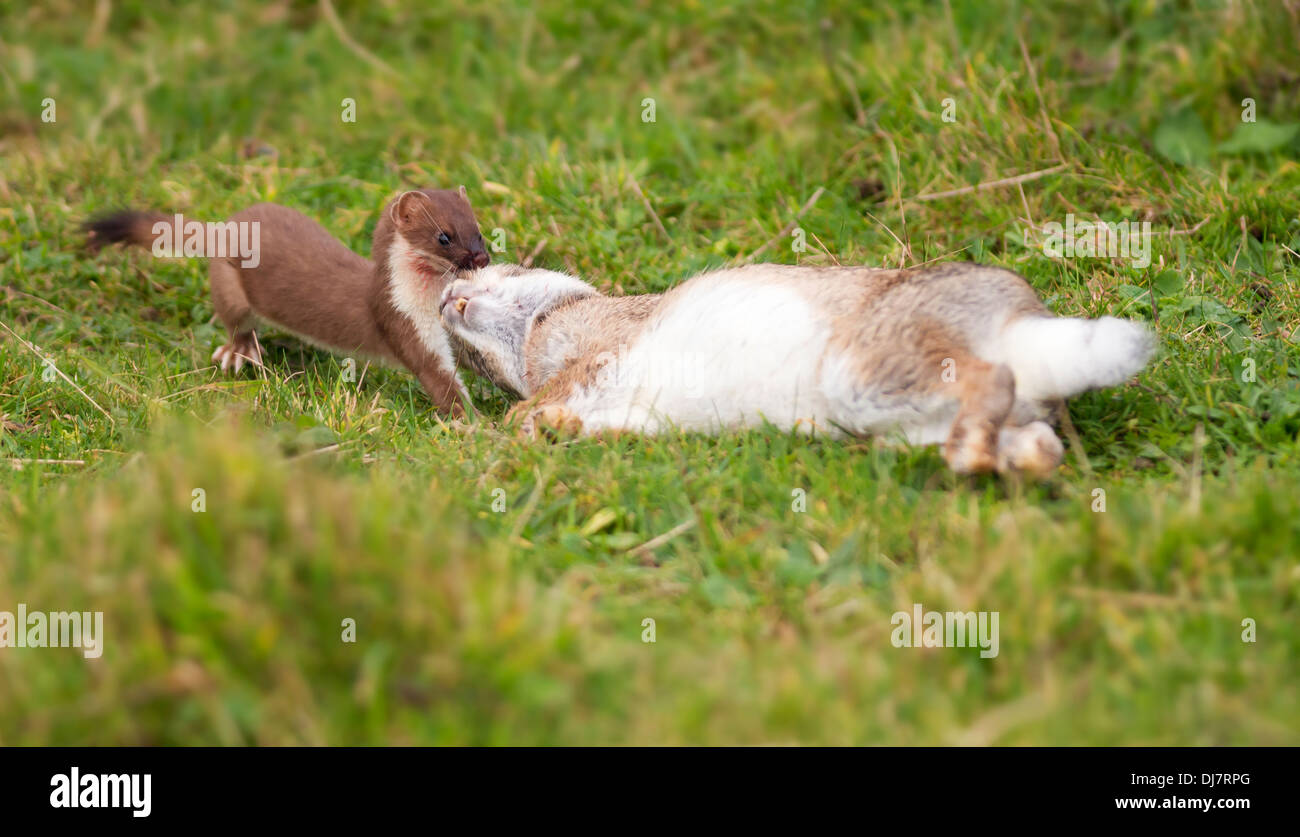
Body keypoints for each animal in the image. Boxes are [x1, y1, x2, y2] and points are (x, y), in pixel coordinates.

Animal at [438, 261, 1155, 476]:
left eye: (495, 267)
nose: (449, 300)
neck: (539, 324)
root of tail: (1023, 325)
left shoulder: (594, 351)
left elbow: (546, 394)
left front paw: (518, 423)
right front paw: (553, 431)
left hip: (866, 371)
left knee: (992, 380)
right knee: (1032, 445)